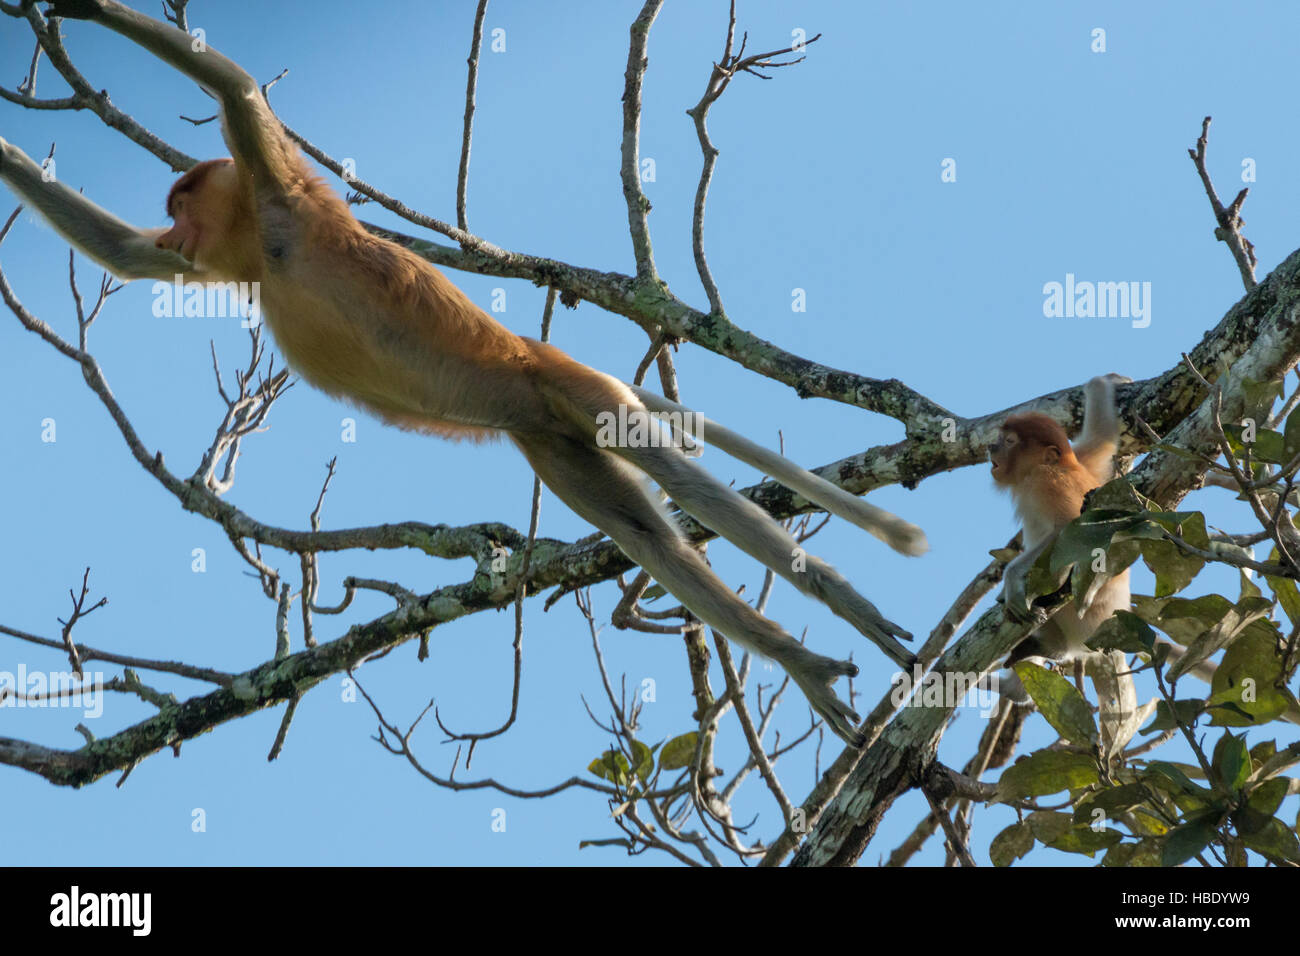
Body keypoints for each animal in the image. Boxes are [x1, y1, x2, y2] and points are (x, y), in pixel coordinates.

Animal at [0, 0, 929, 747]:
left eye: (183, 200)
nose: (175, 231)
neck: (264, 244)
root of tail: (540, 359)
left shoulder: (278, 192)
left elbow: (235, 93)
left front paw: (75, 6)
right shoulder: (232, 257)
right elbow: (126, 257)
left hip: (575, 395)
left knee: (675, 481)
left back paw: (835, 608)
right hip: (549, 438)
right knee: (647, 536)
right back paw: (799, 655)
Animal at [988, 374, 1132, 695]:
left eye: (1010, 441)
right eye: (1001, 438)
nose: (991, 447)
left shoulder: (1047, 482)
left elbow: (1070, 529)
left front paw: (1011, 581)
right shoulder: (1077, 460)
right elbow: (1101, 440)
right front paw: (1105, 383)